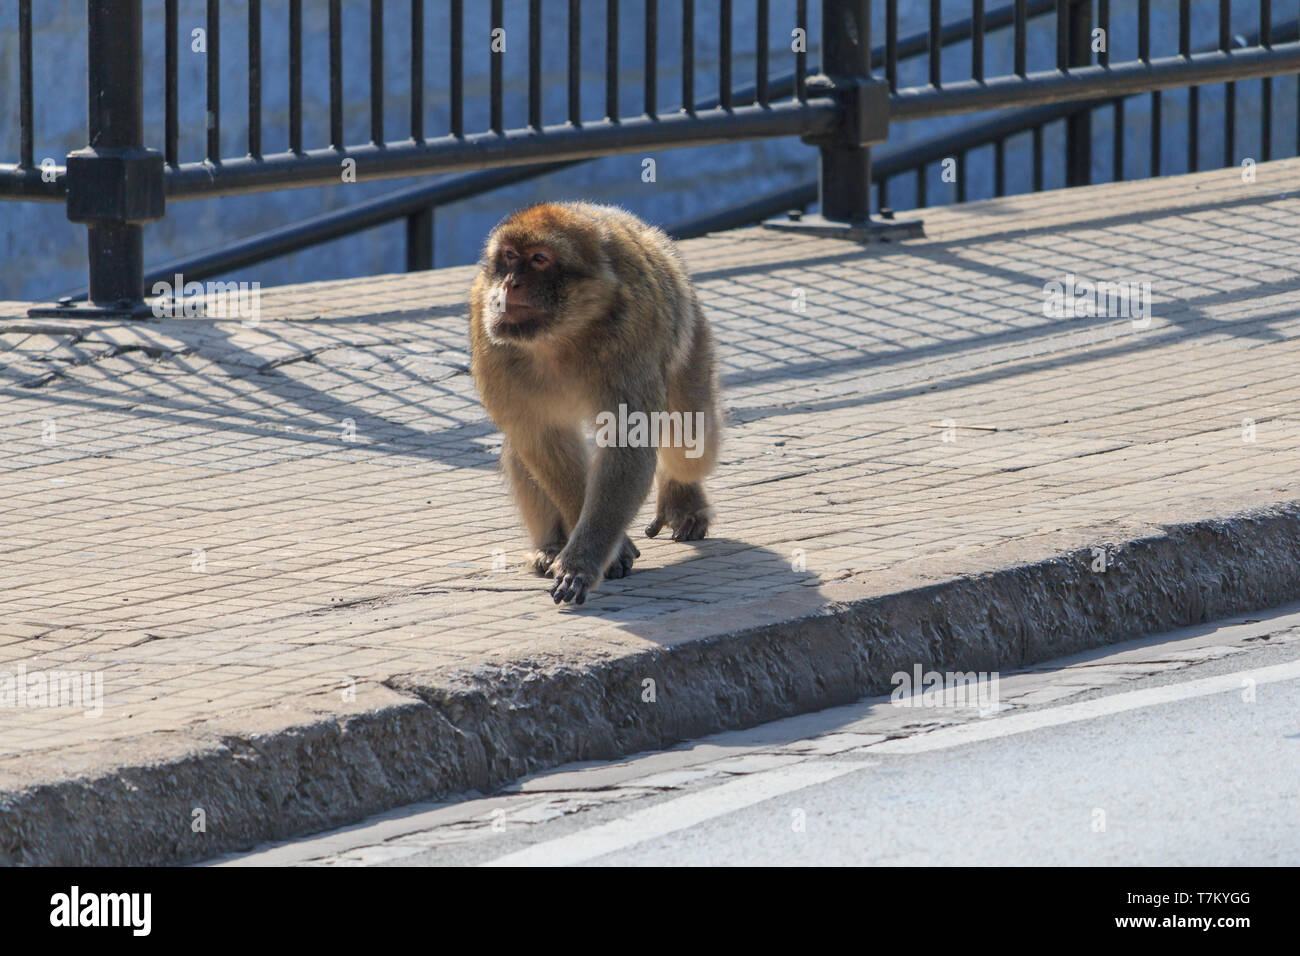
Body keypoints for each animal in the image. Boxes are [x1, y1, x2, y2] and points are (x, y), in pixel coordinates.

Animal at [468, 201, 721, 605]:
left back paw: (681, 496)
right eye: (509, 256)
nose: (510, 283)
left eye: (539, 259)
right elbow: (542, 438)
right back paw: (551, 546)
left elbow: (629, 442)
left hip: (692, 339)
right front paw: (603, 552)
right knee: (521, 445)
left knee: (689, 443)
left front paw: (583, 561)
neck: (560, 336)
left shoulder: (631, 335)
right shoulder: (490, 335)